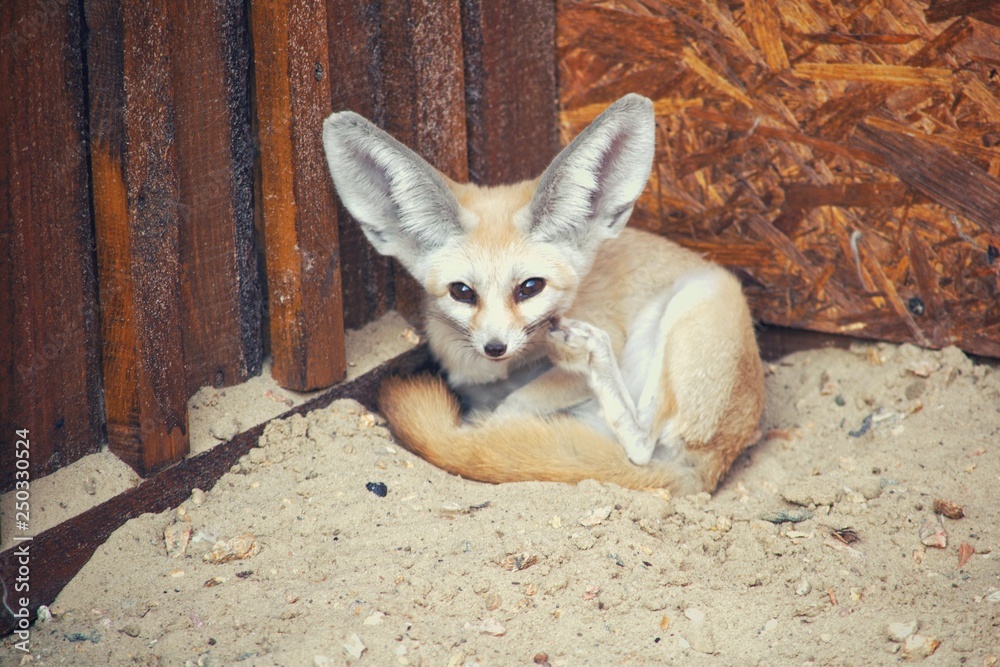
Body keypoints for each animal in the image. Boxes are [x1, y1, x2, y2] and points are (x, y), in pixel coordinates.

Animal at [321, 94, 764, 495]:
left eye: (530, 287)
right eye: (462, 292)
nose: (495, 347)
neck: (503, 372)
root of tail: (708, 471)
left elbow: (508, 412)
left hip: (699, 298)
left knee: (640, 447)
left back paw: (591, 355)